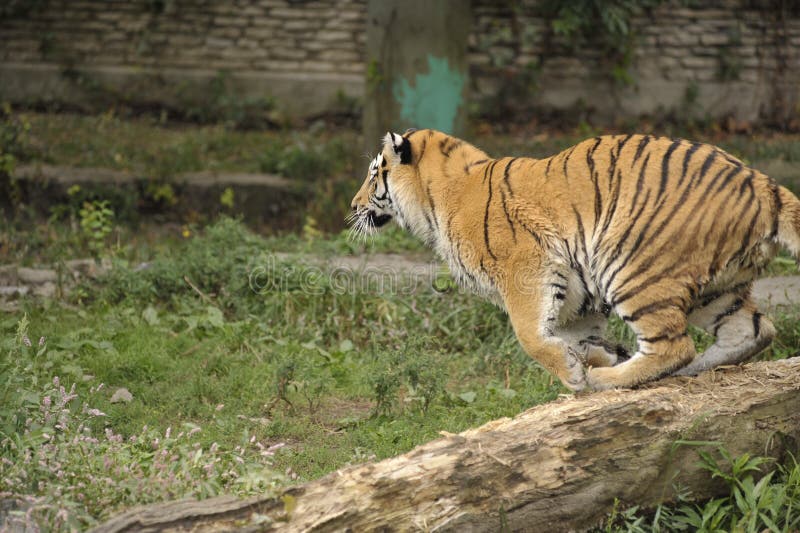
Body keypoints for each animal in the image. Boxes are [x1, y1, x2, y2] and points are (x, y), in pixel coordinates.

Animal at [349, 129, 800, 391]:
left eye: (373, 174)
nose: (352, 206)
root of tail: (764, 184)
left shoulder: (527, 269)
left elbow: (530, 338)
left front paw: (576, 374)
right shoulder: (576, 291)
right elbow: (575, 336)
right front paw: (593, 356)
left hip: (632, 266)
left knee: (676, 345)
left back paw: (611, 379)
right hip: (716, 288)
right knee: (753, 330)